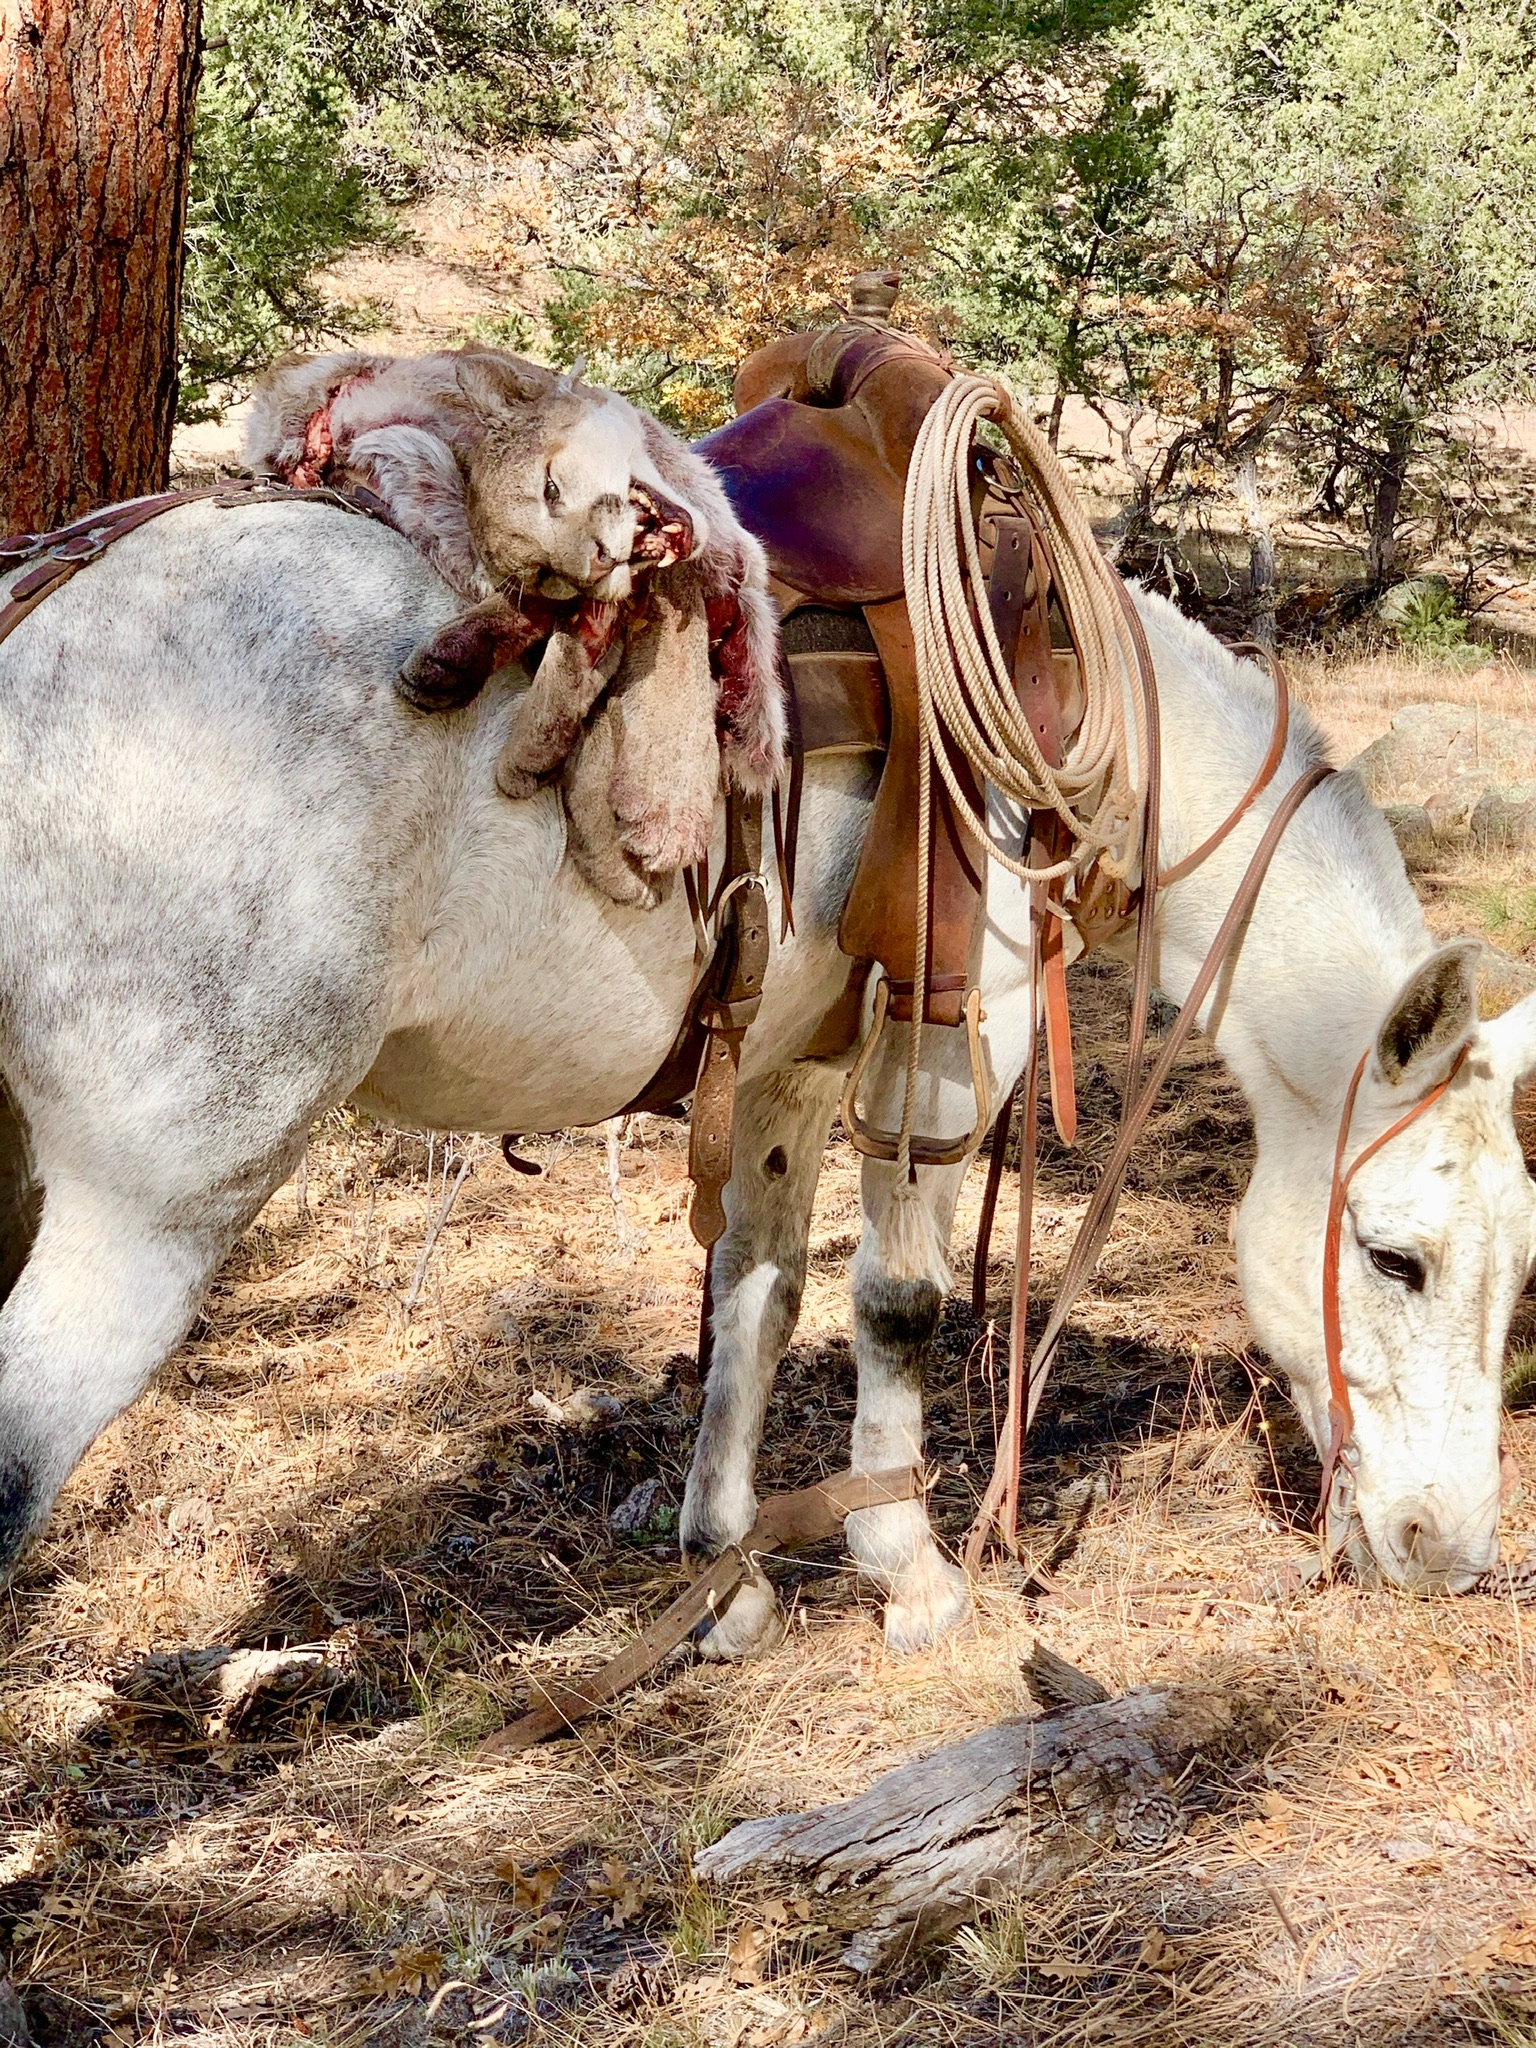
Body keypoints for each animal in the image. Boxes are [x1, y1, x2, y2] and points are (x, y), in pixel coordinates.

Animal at [0, 494, 1533, 1660]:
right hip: (154, 1202)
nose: (1450, 1550)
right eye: (1394, 1258)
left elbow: (758, 1289)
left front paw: (721, 1572)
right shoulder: (950, 1051)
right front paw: (908, 1570)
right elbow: (898, 1305)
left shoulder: (789, 1065)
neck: (1067, 716)